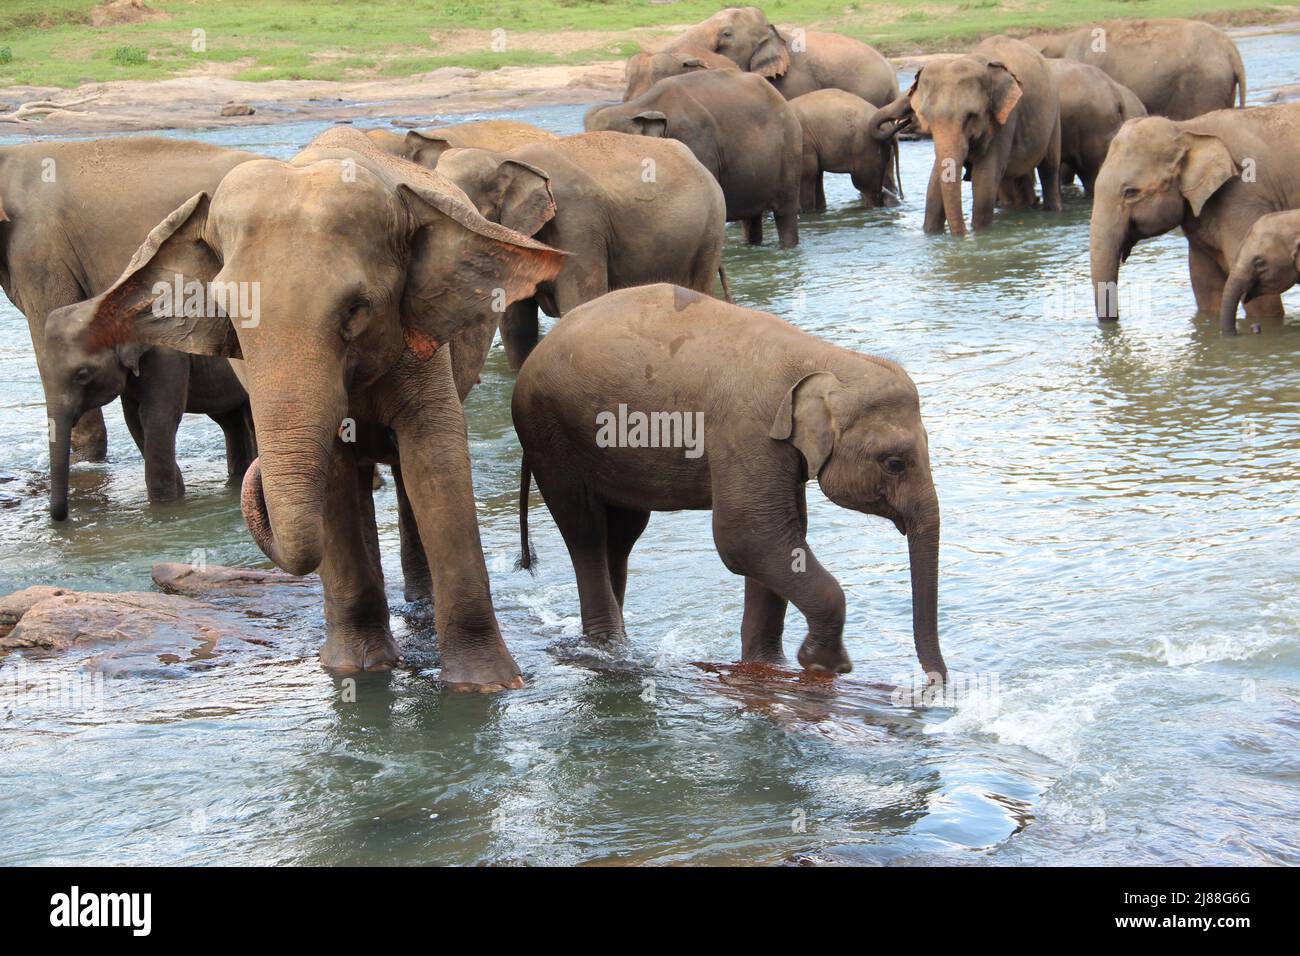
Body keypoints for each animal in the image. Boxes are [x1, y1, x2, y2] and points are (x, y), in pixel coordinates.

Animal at [41, 306, 254, 521]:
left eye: (82, 374)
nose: (67, 517)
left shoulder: (167, 357)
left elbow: (158, 418)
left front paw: (164, 506)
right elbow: (134, 420)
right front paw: (178, 491)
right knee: (231, 422)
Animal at [512, 283, 946, 683]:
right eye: (894, 464)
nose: (934, 684)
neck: (822, 358)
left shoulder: (778, 452)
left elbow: (782, 537)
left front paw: (769, 665)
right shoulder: (747, 434)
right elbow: (748, 536)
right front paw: (825, 664)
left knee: (621, 532)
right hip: (548, 435)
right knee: (584, 529)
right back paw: (608, 647)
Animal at [869, 36, 1062, 235]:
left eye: (971, 116)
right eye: (927, 116)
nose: (904, 122)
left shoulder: (1006, 119)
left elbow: (985, 180)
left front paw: (980, 234)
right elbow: (936, 182)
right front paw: (932, 234)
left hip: (1054, 116)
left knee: (1049, 168)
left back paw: (1052, 212)